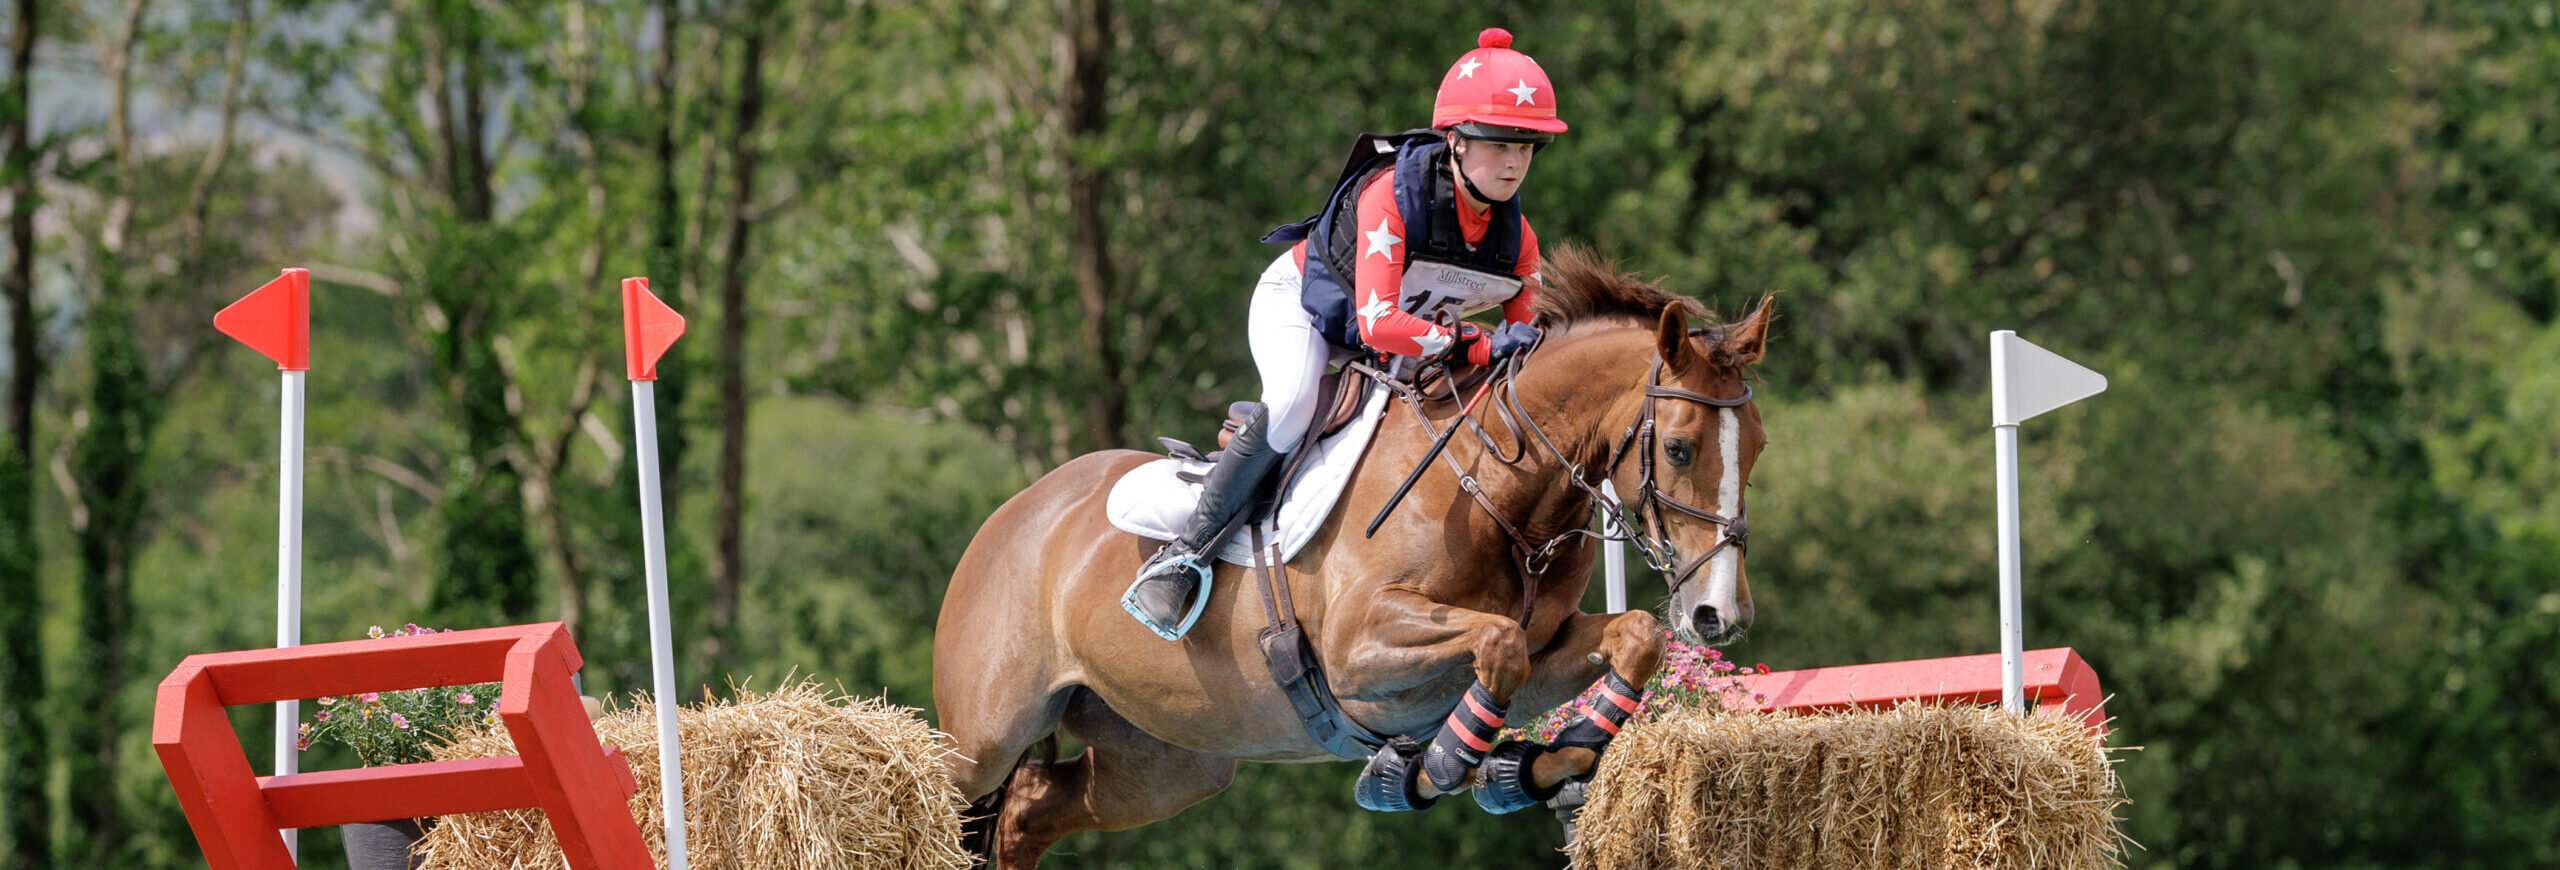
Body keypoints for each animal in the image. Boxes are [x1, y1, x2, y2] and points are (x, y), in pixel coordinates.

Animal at [932, 245, 1774, 868]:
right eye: (1679, 448)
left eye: (1758, 449)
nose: (1719, 614)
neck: (1498, 491)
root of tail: (1015, 512)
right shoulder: (1358, 654)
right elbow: (1496, 641)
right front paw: (1430, 771)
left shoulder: (1541, 653)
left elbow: (1633, 636)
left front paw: (1528, 769)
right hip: (981, 740)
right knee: (961, 798)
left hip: (1165, 760)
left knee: (1028, 813)